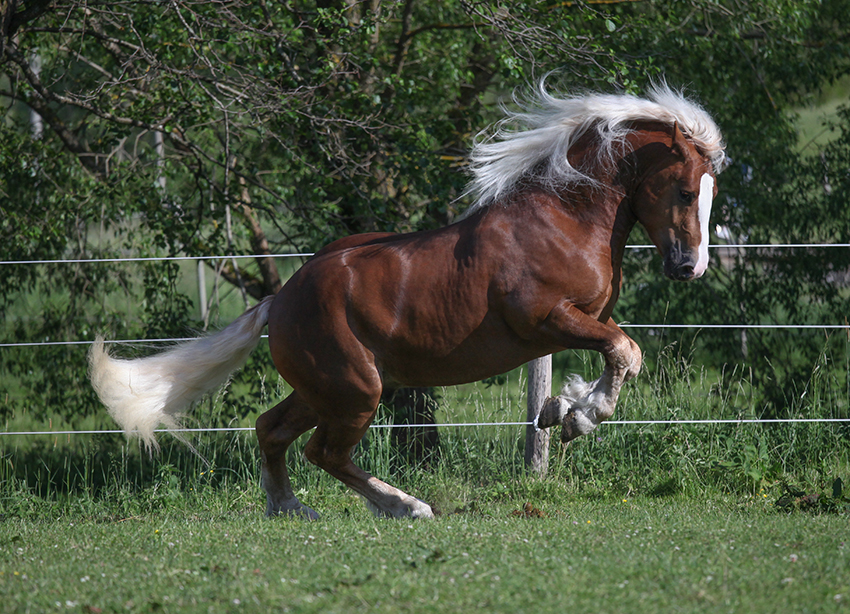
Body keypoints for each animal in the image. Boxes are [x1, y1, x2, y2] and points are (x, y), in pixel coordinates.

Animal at [88, 84, 724, 524]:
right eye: (685, 190)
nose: (690, 266)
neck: (563, 219)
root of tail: (279, 300)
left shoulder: (584, 319)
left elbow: (619, 352)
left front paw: (560, 408)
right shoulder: (546, 320)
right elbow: (625, 352)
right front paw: (577, 416)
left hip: (326, 388)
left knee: (272, 430)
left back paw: (289, 508)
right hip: (356, 389)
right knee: (324, 452)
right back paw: (406, 507)